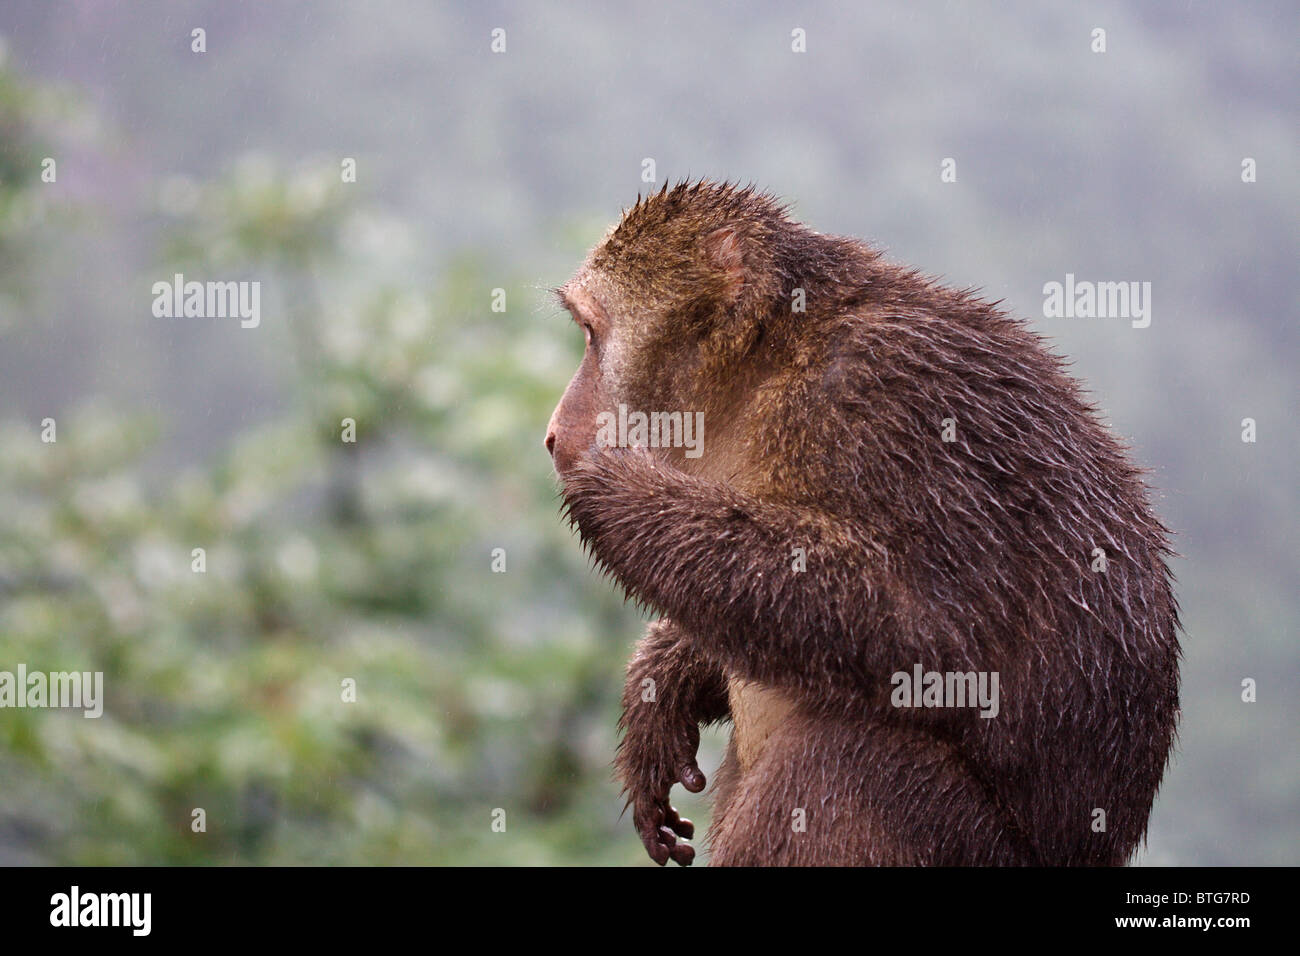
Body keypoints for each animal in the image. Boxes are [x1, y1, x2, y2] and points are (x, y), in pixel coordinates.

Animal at [543, 179, 1185, 868]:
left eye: (589, 336)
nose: (554, 433)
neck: (769, 362)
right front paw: (665, 680)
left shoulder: (885, 397)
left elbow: (929, 637)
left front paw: (615, 489)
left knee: (846, 758)